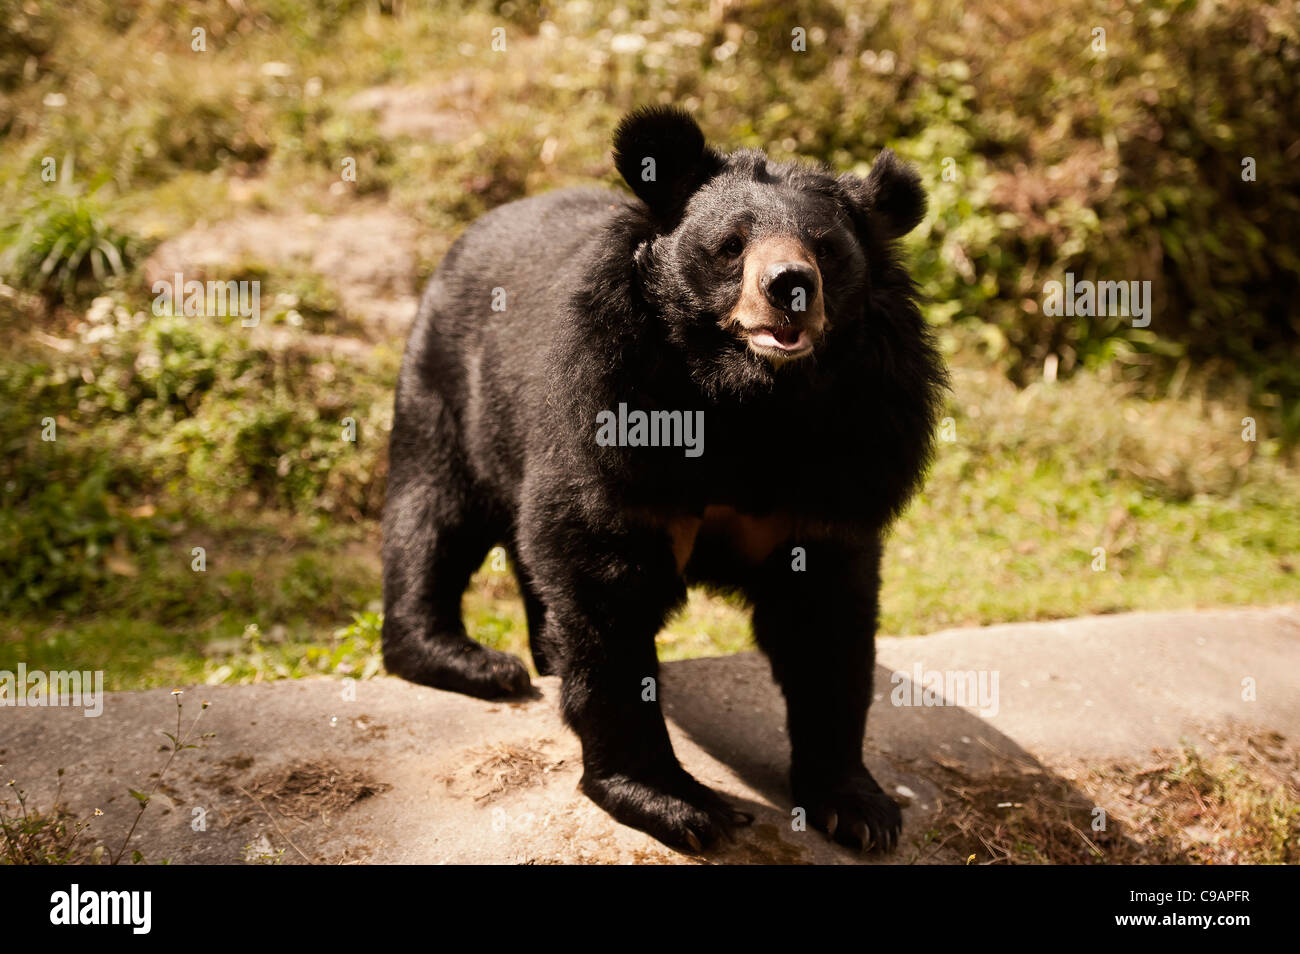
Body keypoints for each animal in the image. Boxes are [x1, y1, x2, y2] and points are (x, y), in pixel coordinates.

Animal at [382, 106, 947, 853]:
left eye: (827, 250)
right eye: (731, 245)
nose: (790, 287)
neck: (752, 400)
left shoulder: (854, 446)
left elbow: (827, 620)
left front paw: (859, 808)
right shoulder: (618, 402)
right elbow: (603, 584)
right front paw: (678, 804)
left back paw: (543, 653)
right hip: (450, 377)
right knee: (433, 512)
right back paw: (474, 662)